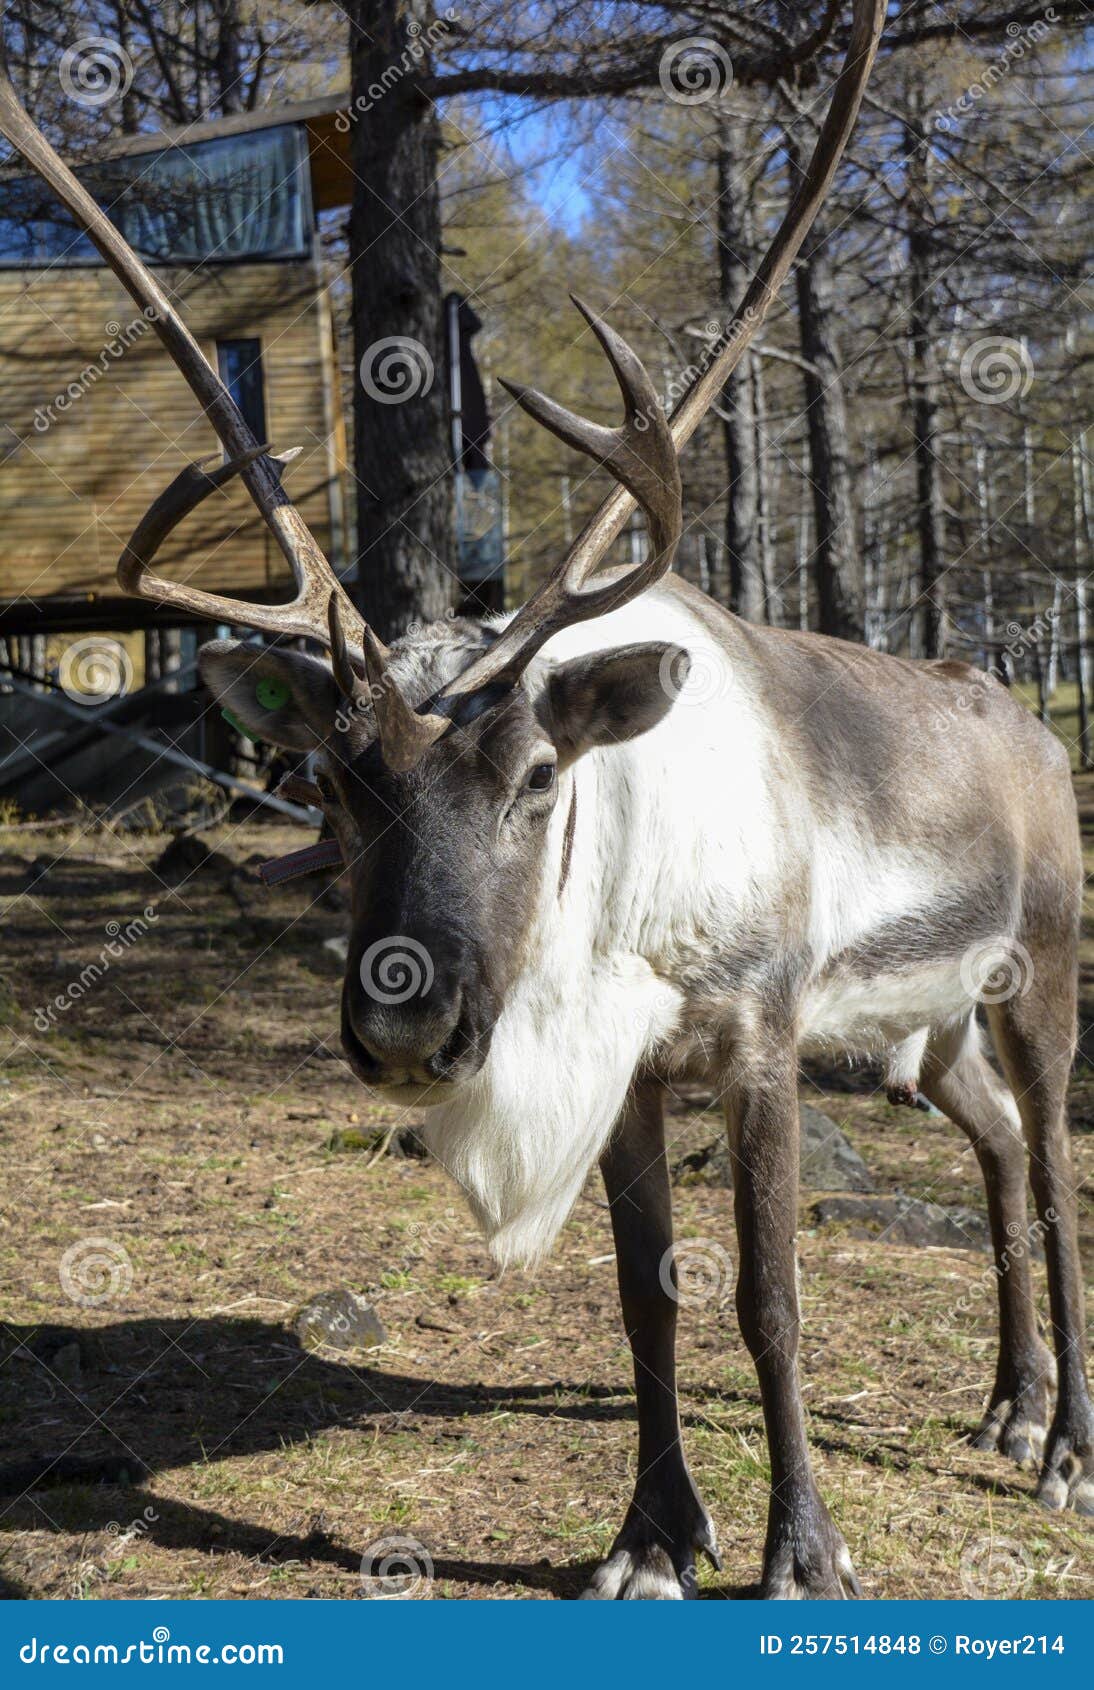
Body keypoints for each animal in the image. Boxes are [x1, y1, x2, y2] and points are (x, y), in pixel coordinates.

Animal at [2, 0, 1090, 1600]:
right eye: (334, 777)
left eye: (533, 775)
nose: (404, 1023)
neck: (613, 911)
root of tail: (1024, 722)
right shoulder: (628, 1072)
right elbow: (645, 1298)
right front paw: (649, 1538)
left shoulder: (758, 1037)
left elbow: (767, 1295)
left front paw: (801, 1551)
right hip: (920, 1026)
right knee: (1001, 1145)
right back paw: (1008, 1408)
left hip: (1035, 971)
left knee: (1058, 1158)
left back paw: (1064, 1447)